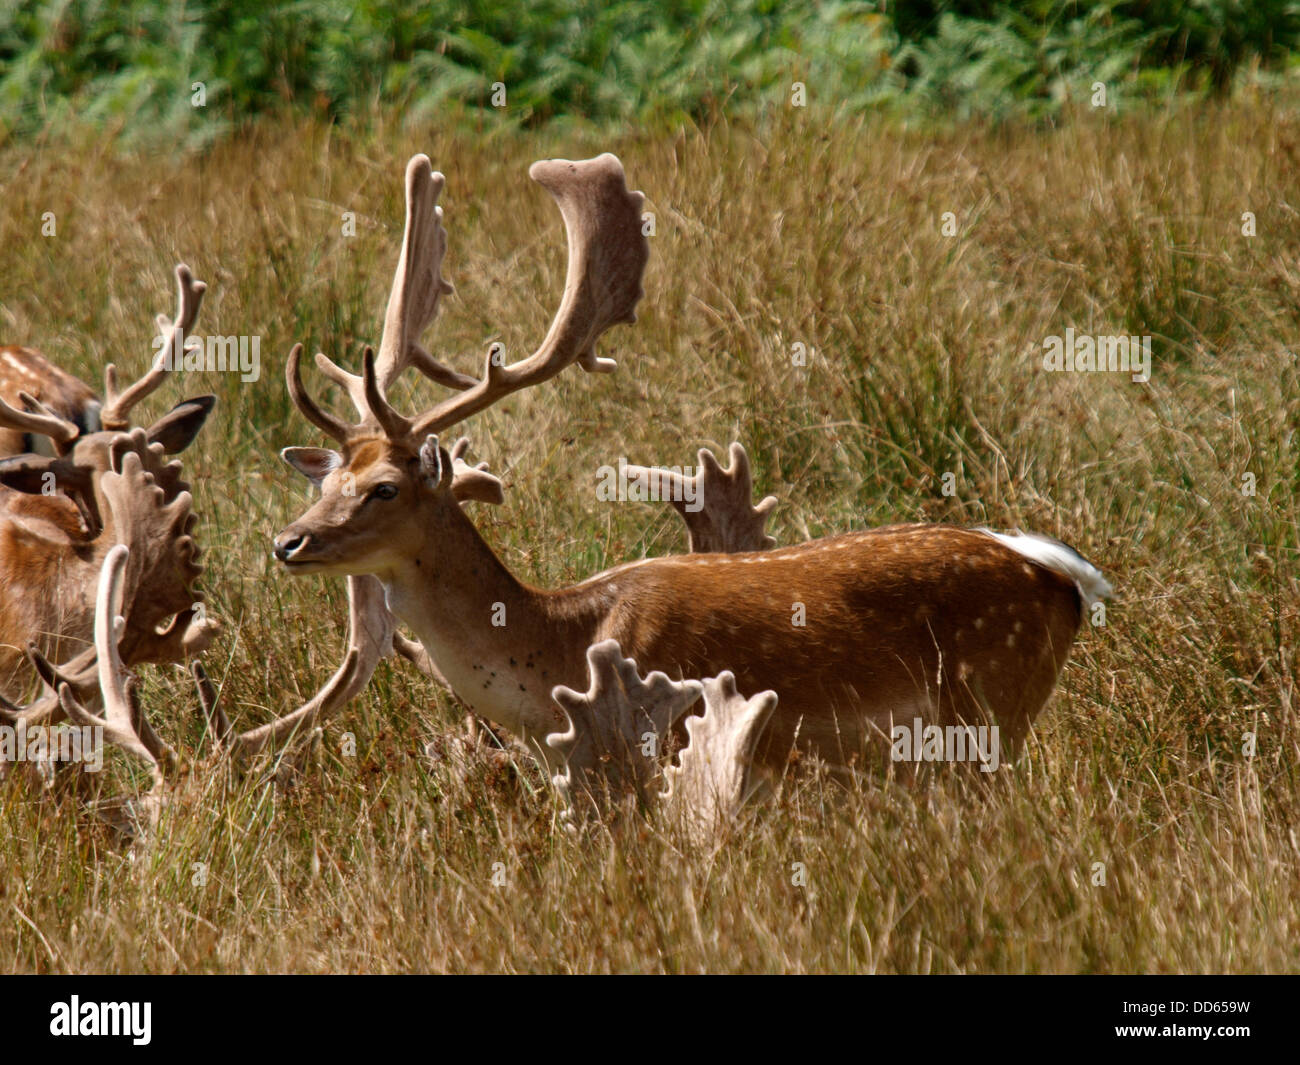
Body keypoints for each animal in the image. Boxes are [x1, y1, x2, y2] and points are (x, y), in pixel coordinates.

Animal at [254, 150, 1112, 807]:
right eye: (324, 482)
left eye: (385, 487)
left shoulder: (668, 737)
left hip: (988, 708)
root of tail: (1063, 577)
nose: (288, 542)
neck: (562, 650)